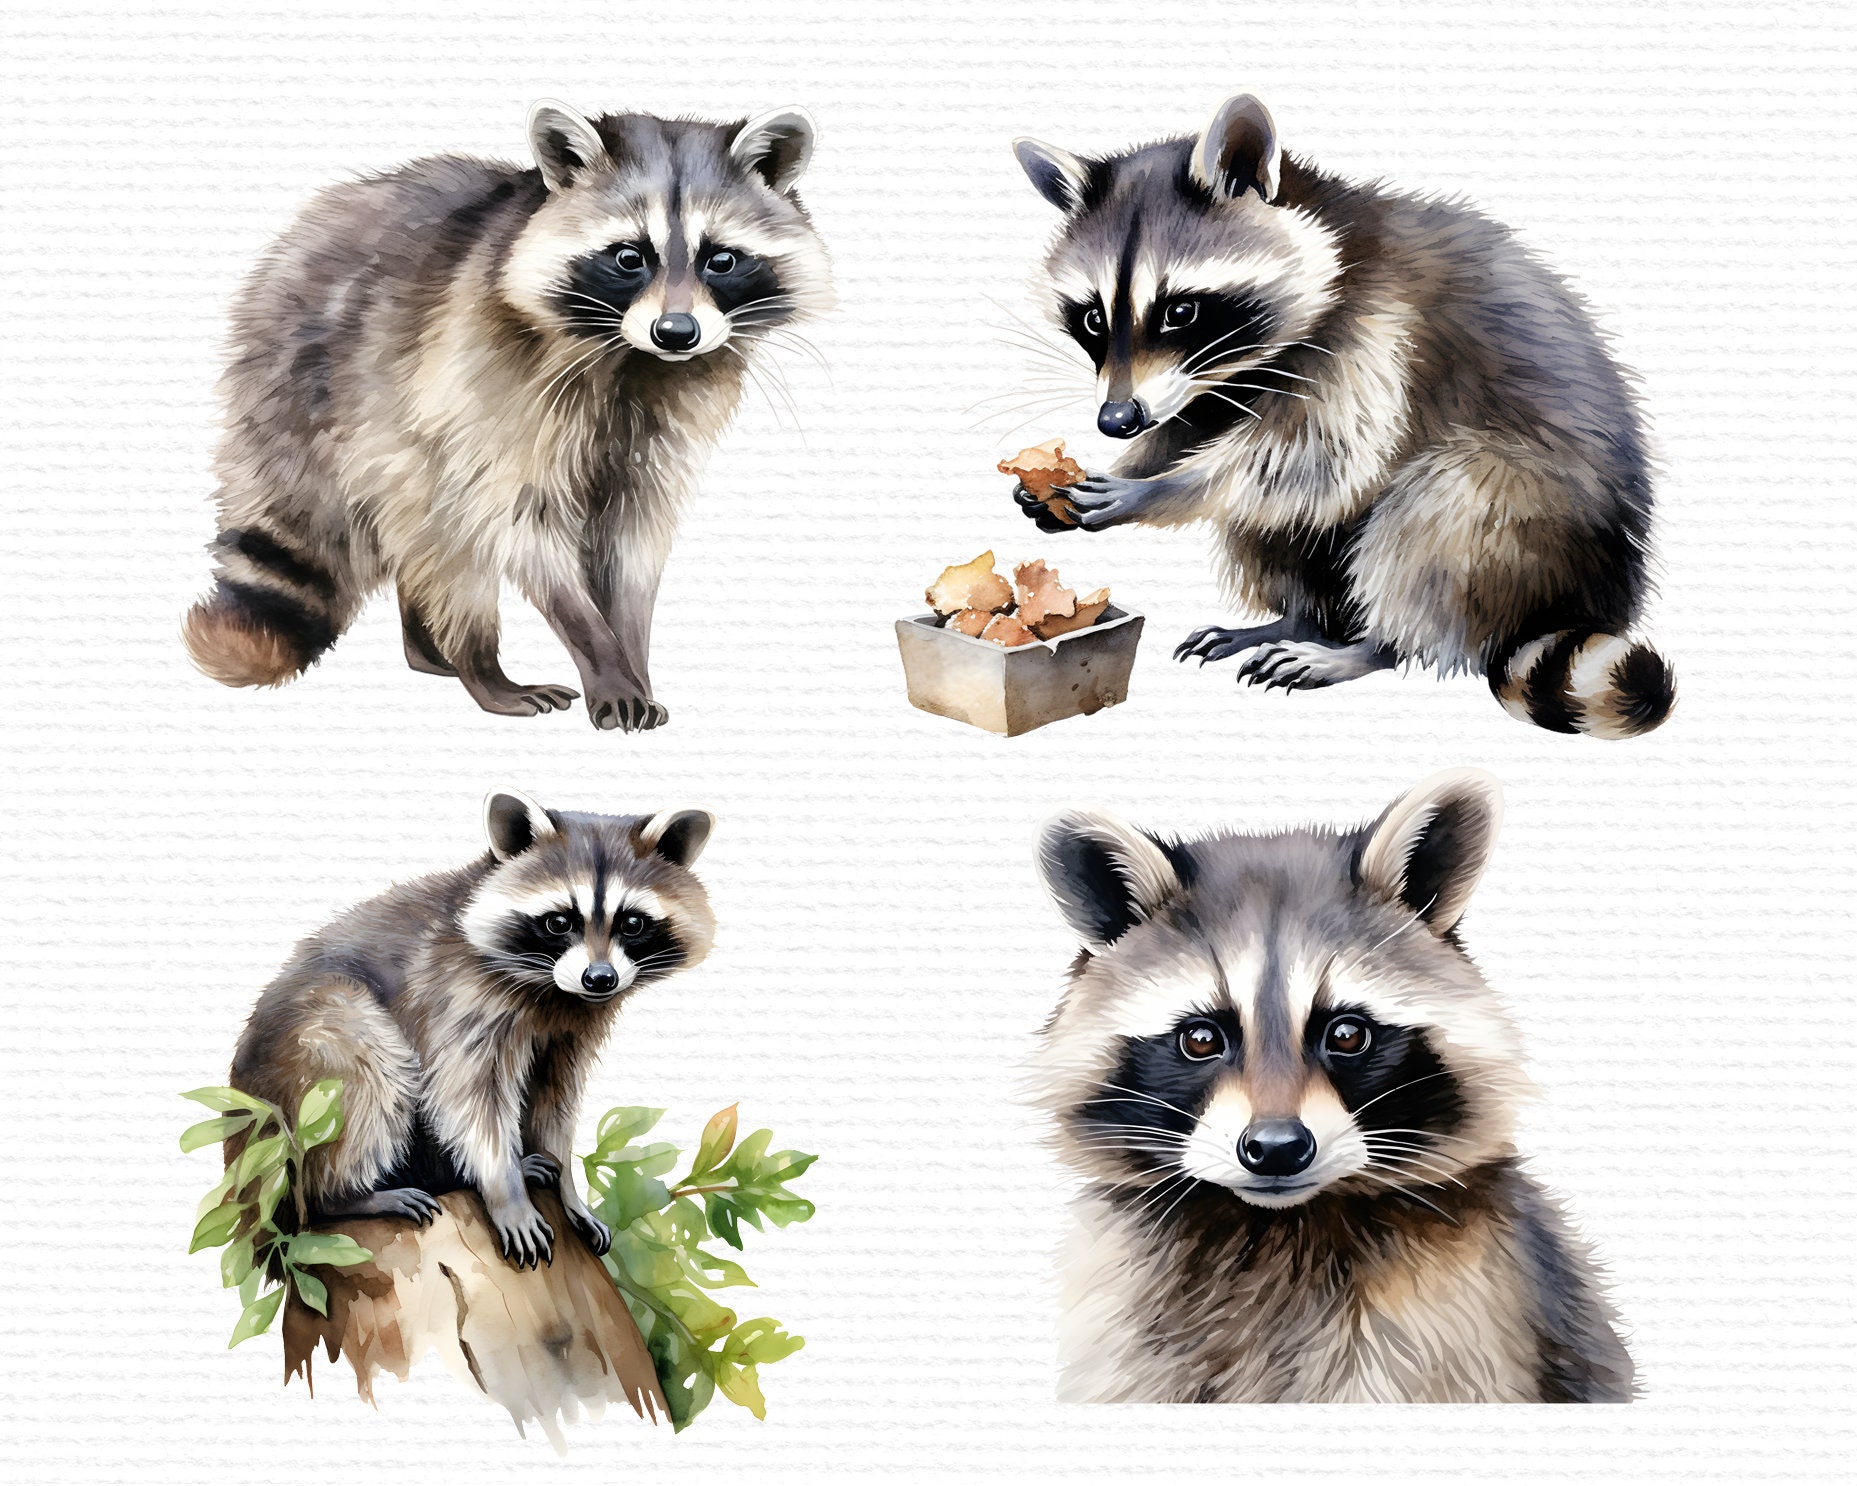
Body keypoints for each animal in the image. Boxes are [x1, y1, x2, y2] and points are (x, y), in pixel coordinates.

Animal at [184, 101, 832, 732]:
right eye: (629, 257)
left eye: (721, 260)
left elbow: (631, 541)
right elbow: (526, 526)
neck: (632, 358)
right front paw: (603, 658)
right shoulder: (492, 390)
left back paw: (429, 647)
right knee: (448, 541)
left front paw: (633, 657)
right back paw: (478, 666)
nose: (676, 332)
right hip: (348, 406)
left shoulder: (668, 426)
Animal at [228, 792, 716, 1268]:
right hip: (318, 1036)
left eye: (632, 923)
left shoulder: (570, 1032)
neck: (554, 990)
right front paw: (507, 1193)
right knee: (370, 1068)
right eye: (559, 922)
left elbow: (555, 1099)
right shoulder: (456, 993)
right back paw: (344, 1195)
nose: (600, 979)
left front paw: (568, 1190)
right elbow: (469, 1097)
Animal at [1012, 96, 1674, 739]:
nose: (1116, 419)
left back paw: (1375, 645)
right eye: (1093, 317)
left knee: (1439, 507)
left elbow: (1318, 457)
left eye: (1181, 311)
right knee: (1279, 529)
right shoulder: (1214, 380)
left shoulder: (1377, 329)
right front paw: (1121, 467)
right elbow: (1192, 429)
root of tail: (1599, 598)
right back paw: (1301, 620)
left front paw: (1157, 489)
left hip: (1531, 522)